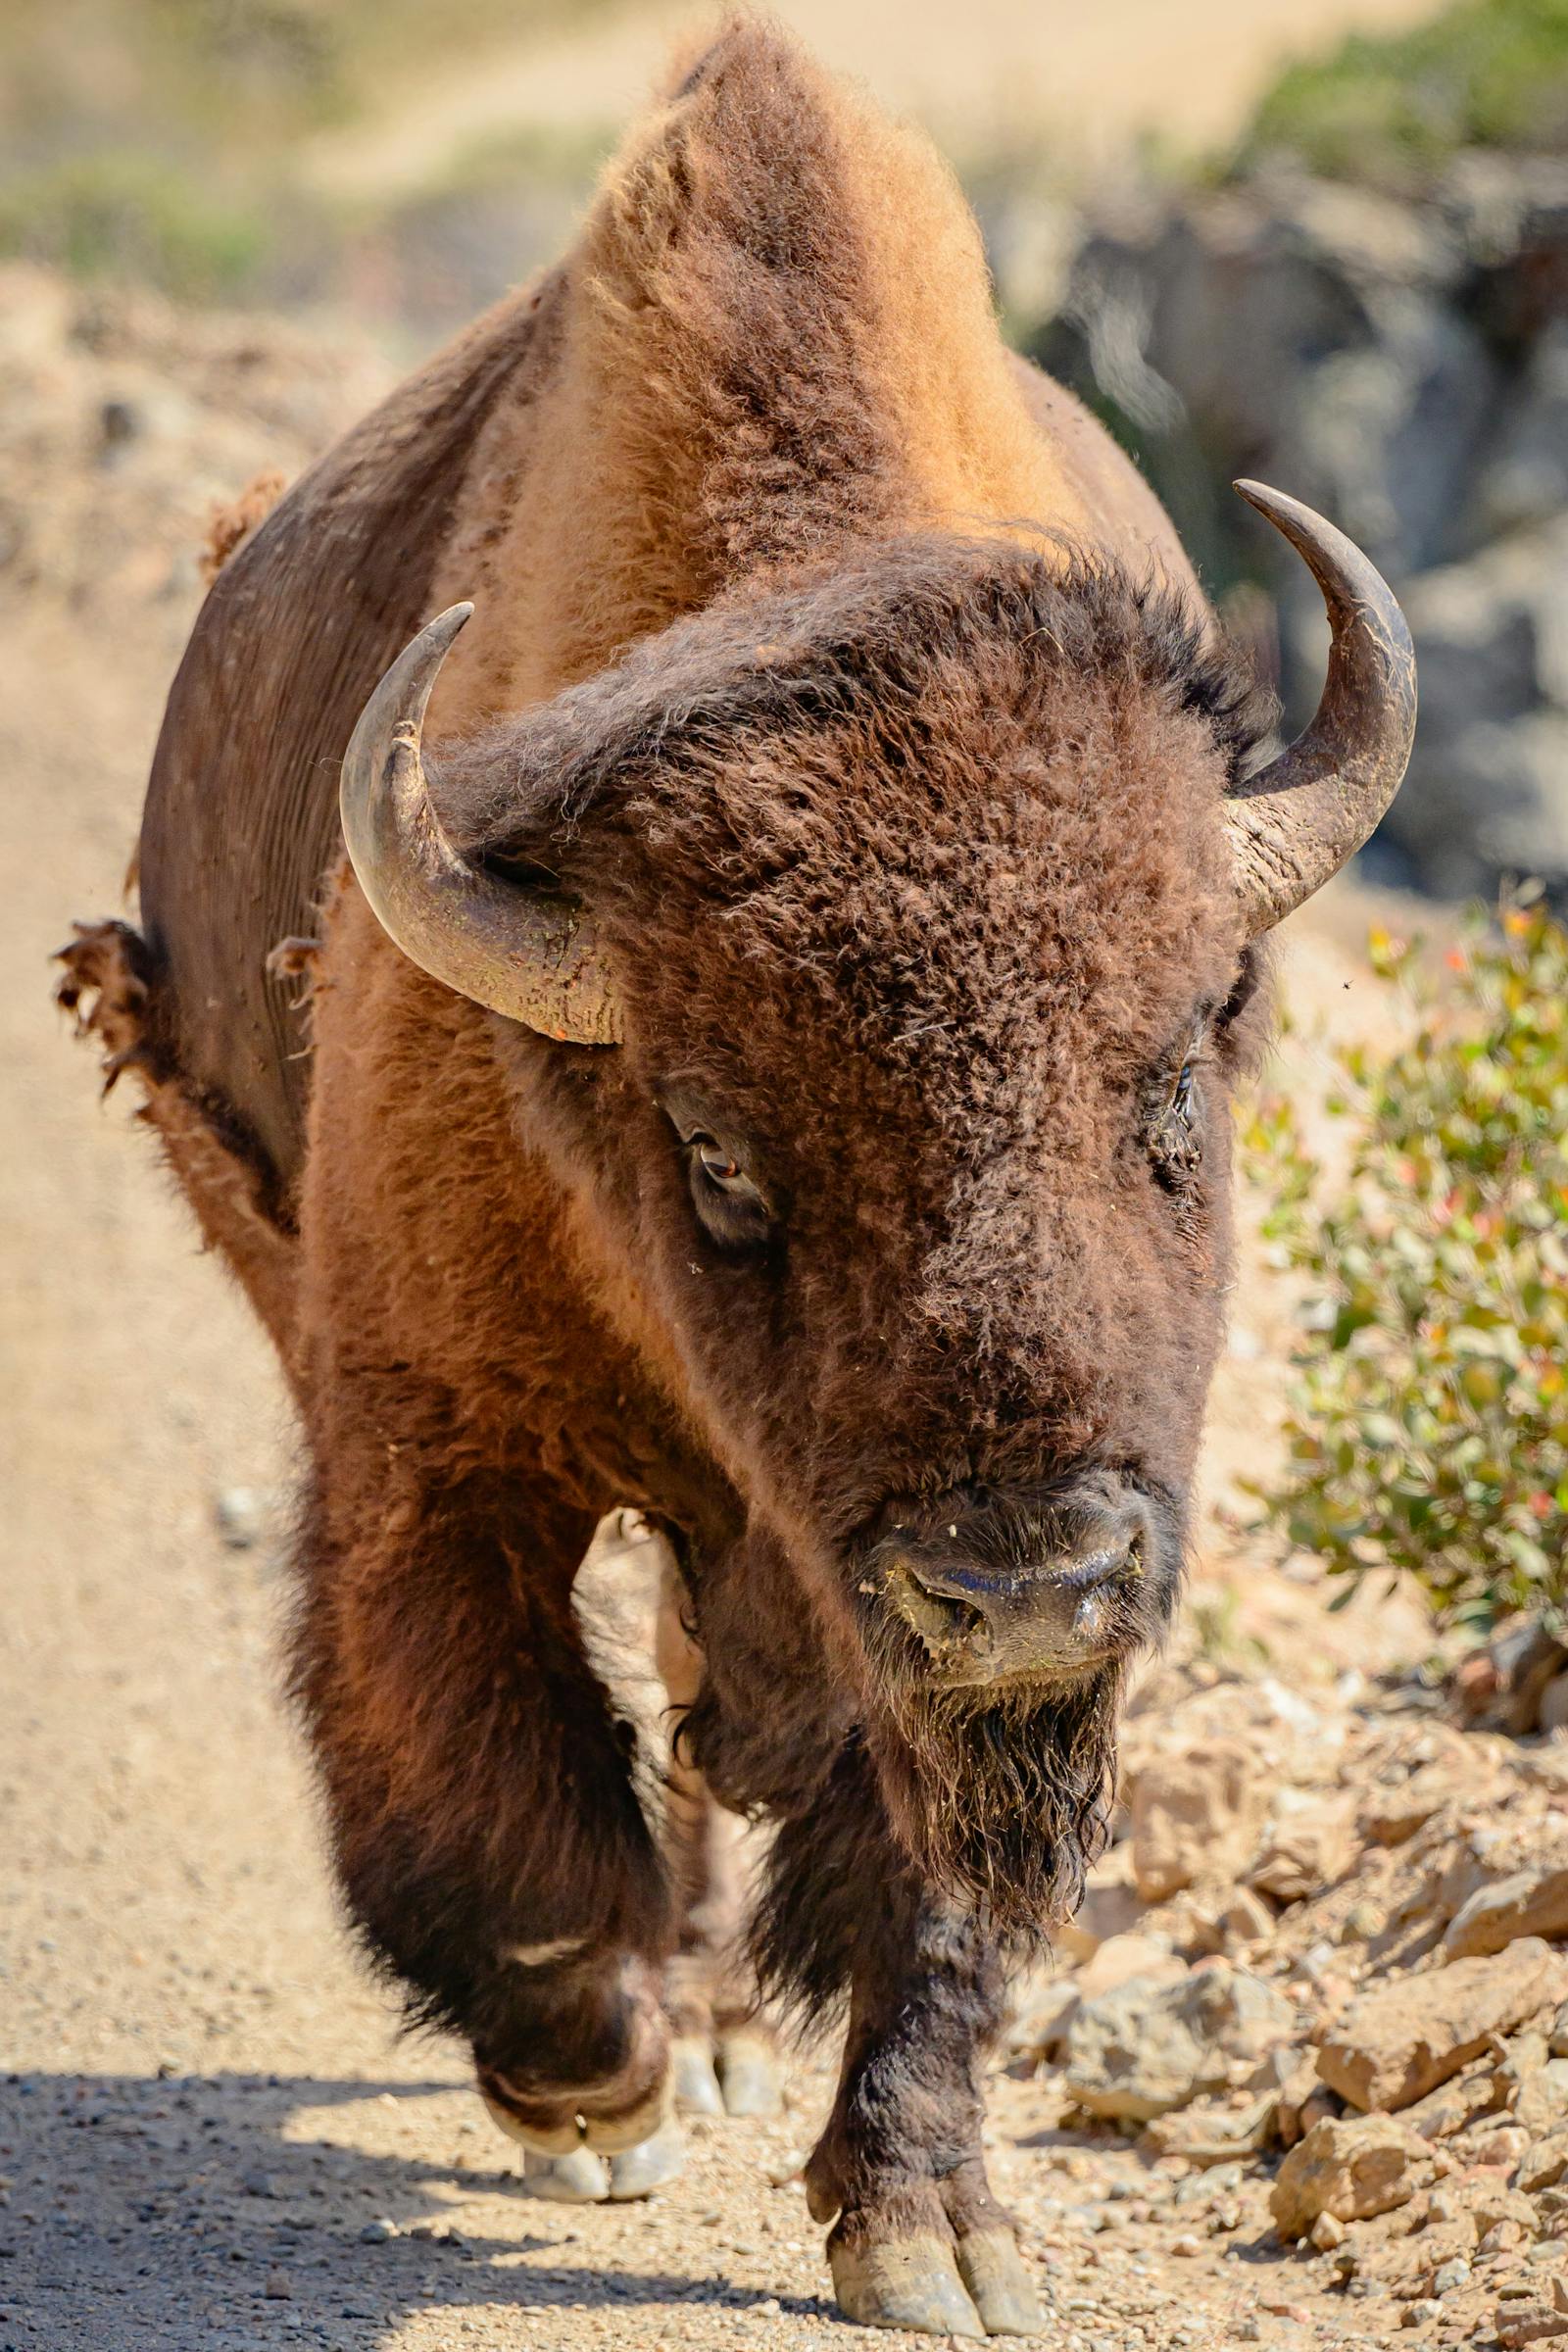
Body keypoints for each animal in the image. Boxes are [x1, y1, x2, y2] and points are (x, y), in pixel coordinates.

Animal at [61, 23, 1414, 2337]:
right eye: (713, 1145)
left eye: (1174, 1081)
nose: (1016, 1579)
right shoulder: (435, 1453)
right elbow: (496, 1791)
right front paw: (592, 2090)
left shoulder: (952, 1628)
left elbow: (928, 1882)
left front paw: (933, 2237)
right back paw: (654, 2055)